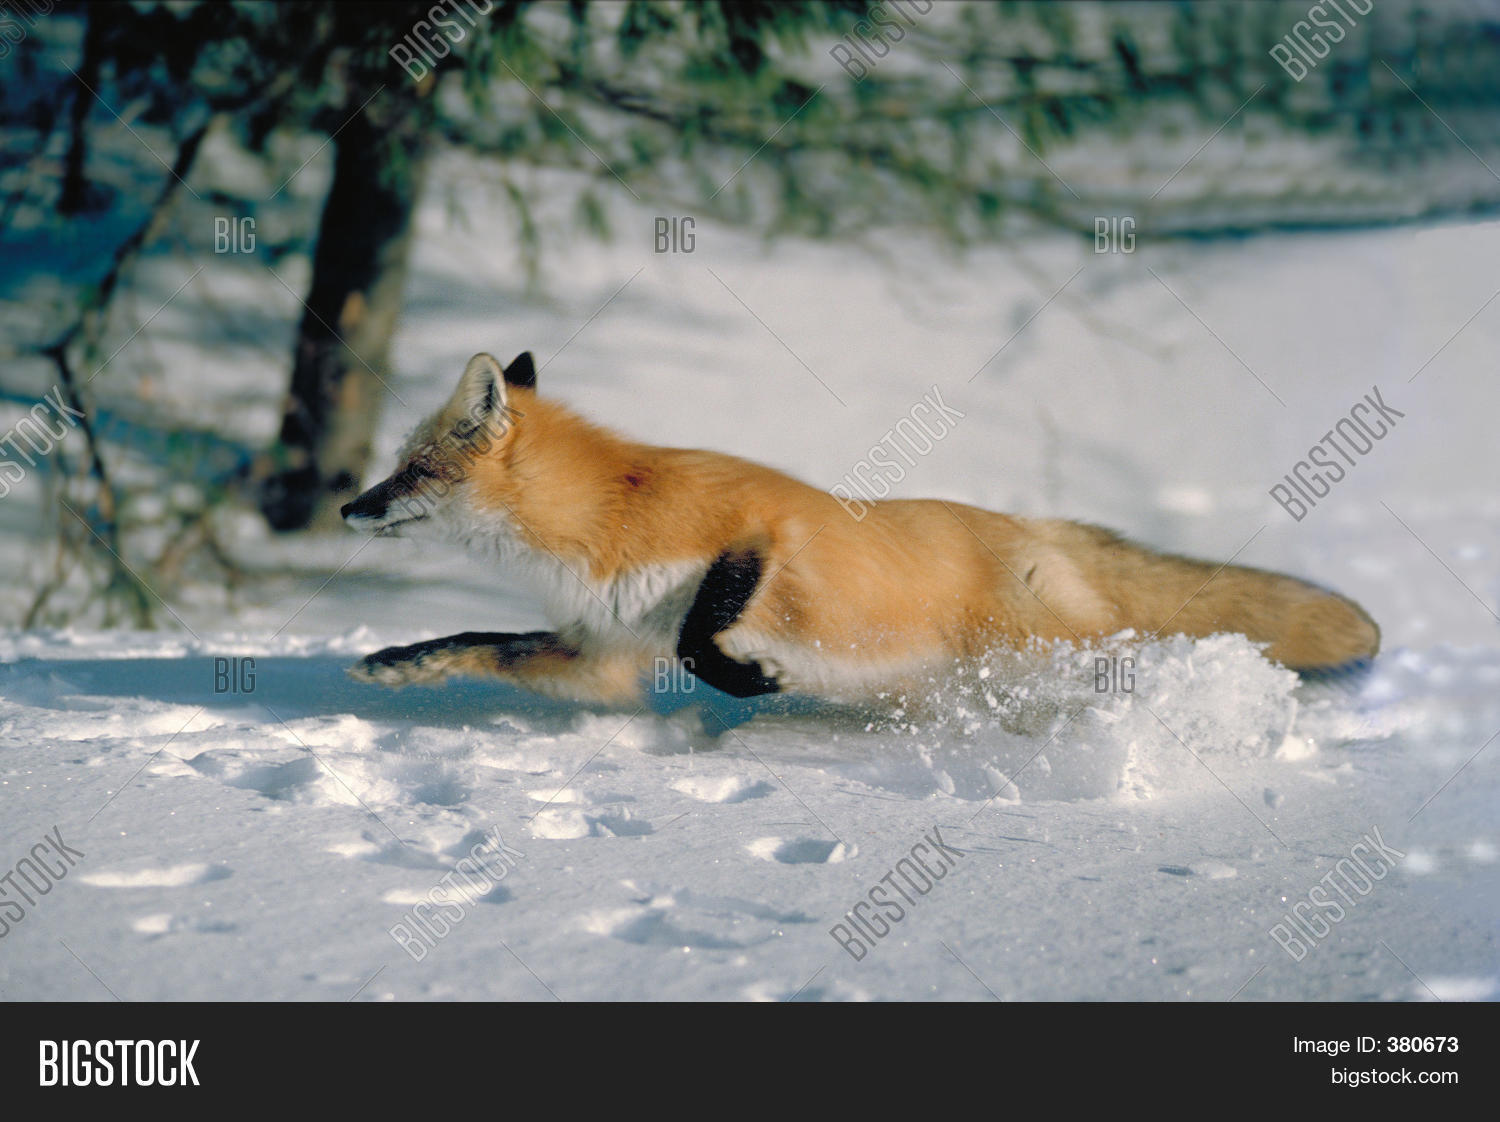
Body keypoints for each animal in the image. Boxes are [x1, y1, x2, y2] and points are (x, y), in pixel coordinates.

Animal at [341, 352, 1379, 707]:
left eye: (409, 469)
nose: (348, 507)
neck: (604, 520)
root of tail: (1039, 525)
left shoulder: (752, 529)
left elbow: (703, 631)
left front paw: (748, 681)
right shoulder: (604, 652)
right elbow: (478, 640)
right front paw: (398, 661)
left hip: (1046, 645)